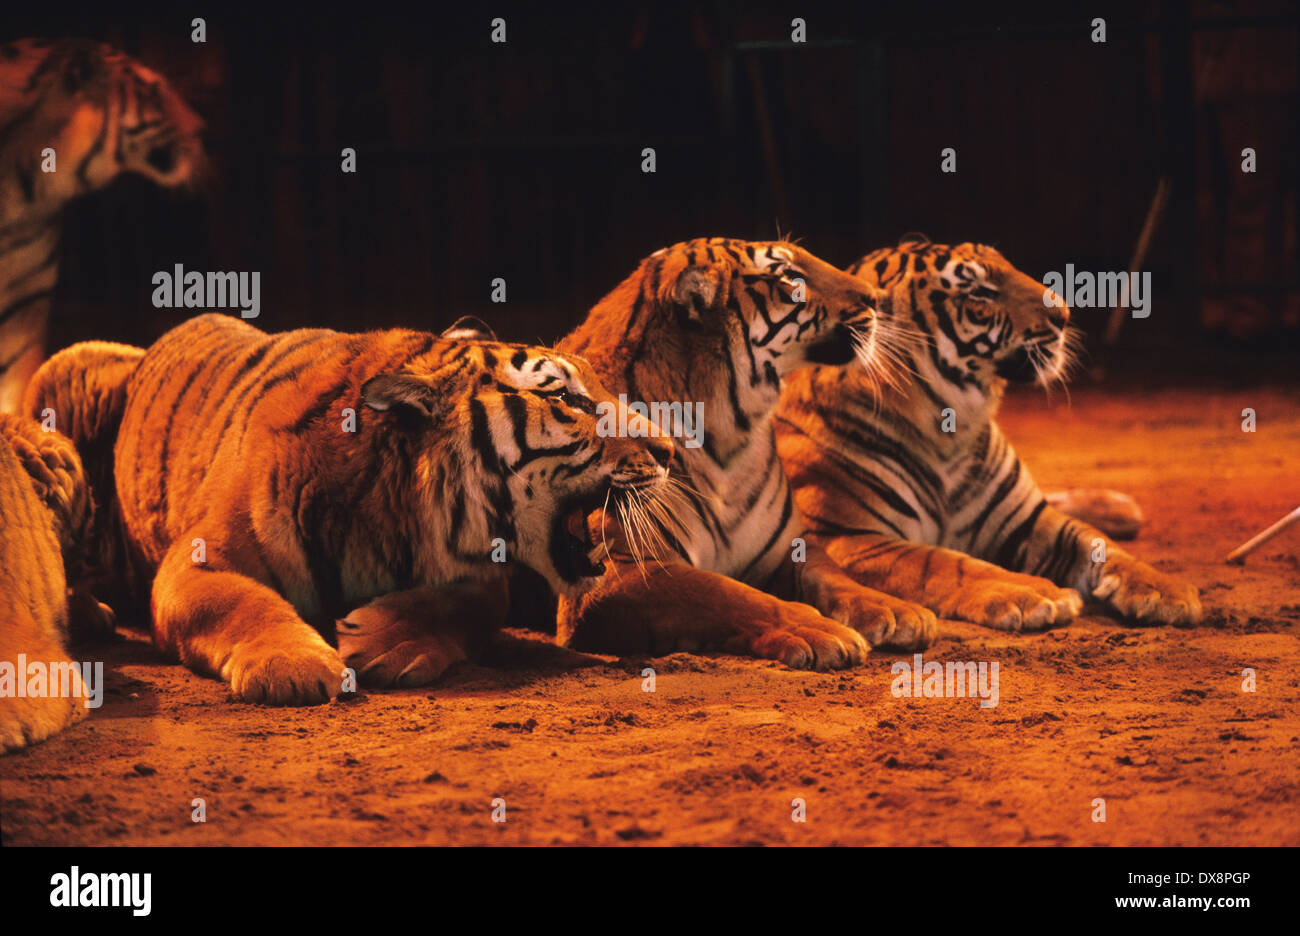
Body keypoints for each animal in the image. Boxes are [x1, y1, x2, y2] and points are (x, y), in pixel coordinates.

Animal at [27, 313, 672, 704]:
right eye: (566, 399)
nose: (669, 449)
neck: (394, 510)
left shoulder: (475, 574)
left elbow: (471, 604)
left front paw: (383, 643)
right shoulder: (198, 559)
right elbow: (238, 602)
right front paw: (295, 668)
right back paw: (87, 612)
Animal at [553, 237, 939, 669]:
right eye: (789, 276)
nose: (876, 298)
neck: (729, 439)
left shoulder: (790, 548)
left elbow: (830, 574)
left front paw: (898, 610)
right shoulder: (610, 572)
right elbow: (722, 593)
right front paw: (819, 630)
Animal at [774, 234, 1202, 635]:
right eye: (980, 292)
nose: (1064, 315)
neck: (949, 433)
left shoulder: (1030, 519)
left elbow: (1098, 543)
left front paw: (1167, 590)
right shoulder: (848, 536)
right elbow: (942, 561)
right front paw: (1034, 593)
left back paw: (1120, 508)